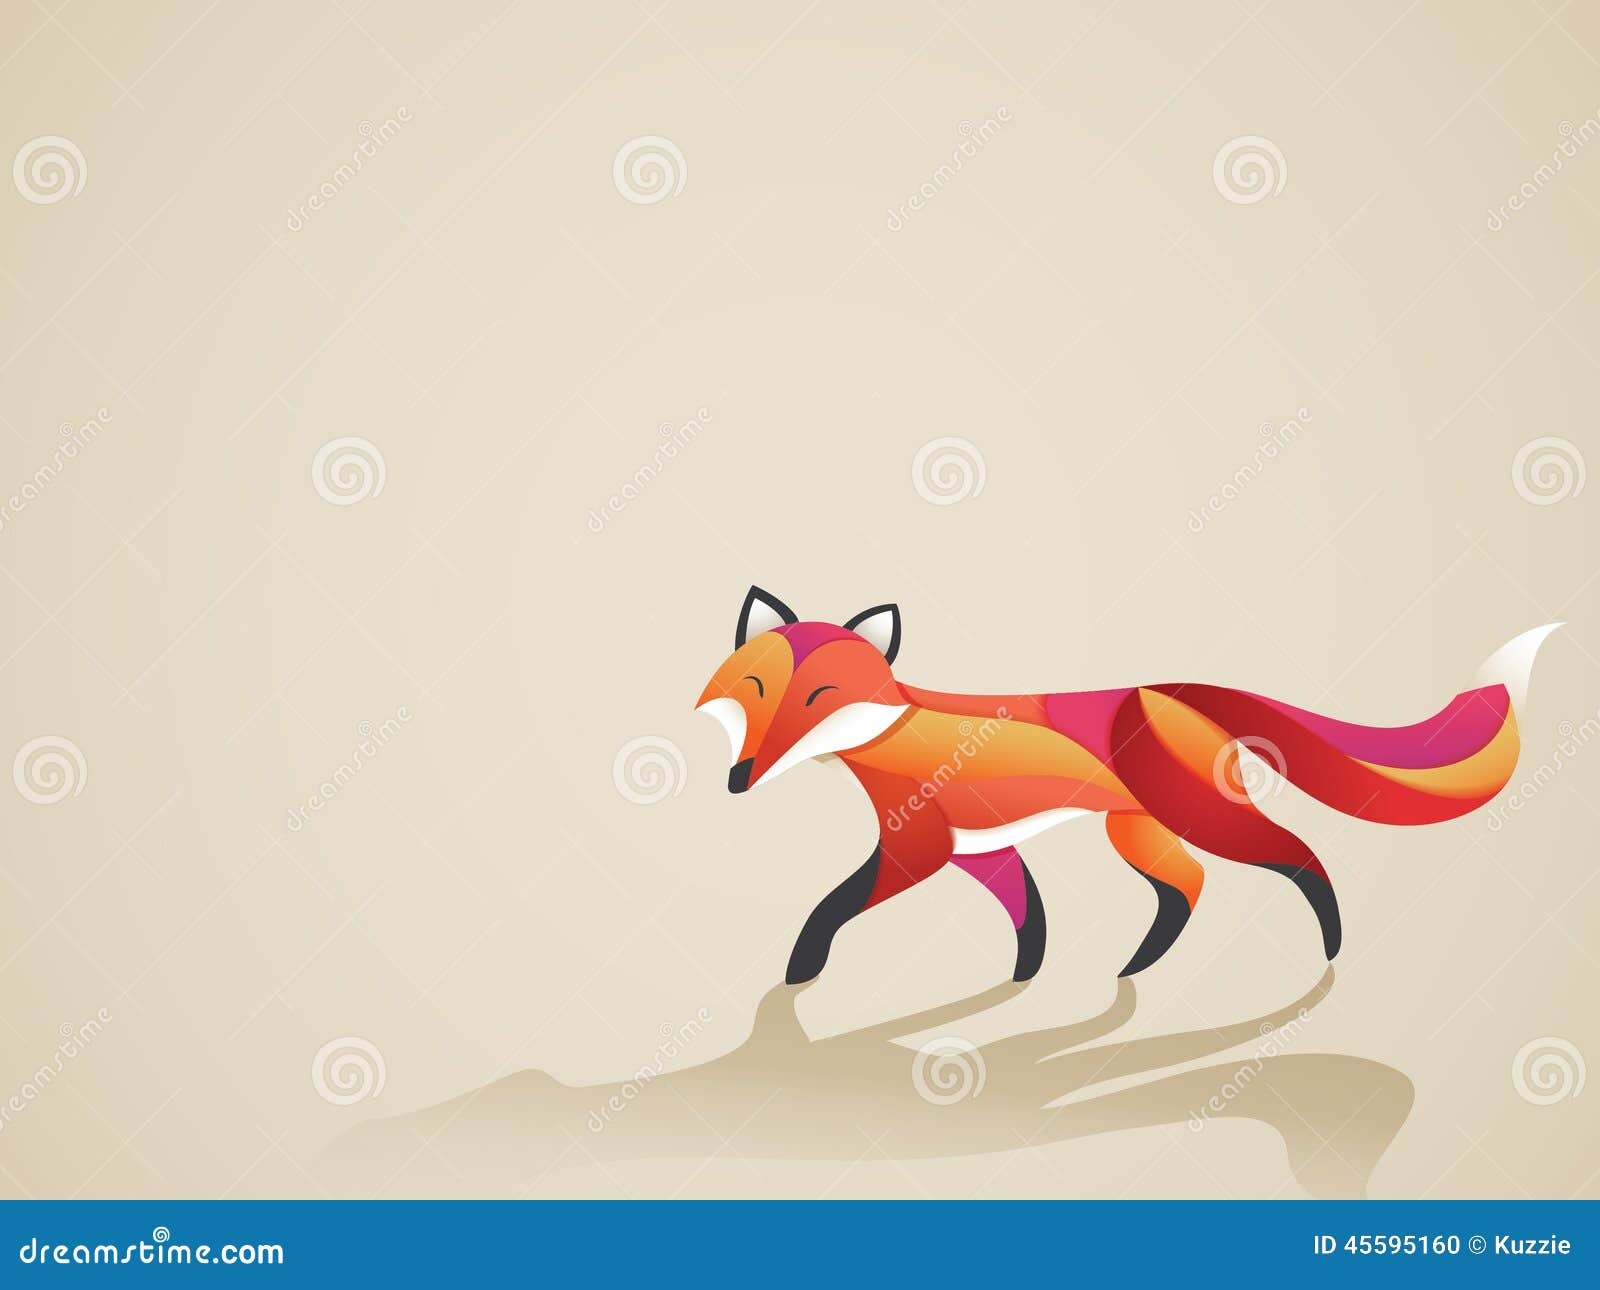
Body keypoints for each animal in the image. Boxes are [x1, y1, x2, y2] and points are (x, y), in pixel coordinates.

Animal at [696, 586, 1560, 986]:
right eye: (756, 689)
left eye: (821, 697)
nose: (737, 781)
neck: (900, 729)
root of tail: (1169, 688)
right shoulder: (979, 851)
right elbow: (1028, 917)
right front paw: (1024, 979)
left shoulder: (919, 849)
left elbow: (831, 907)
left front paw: (800, 971)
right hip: (1137, 831)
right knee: (1188, 885)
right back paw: (1137, 967)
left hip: (1200, 817)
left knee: (1299, 857)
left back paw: (1330, 950)